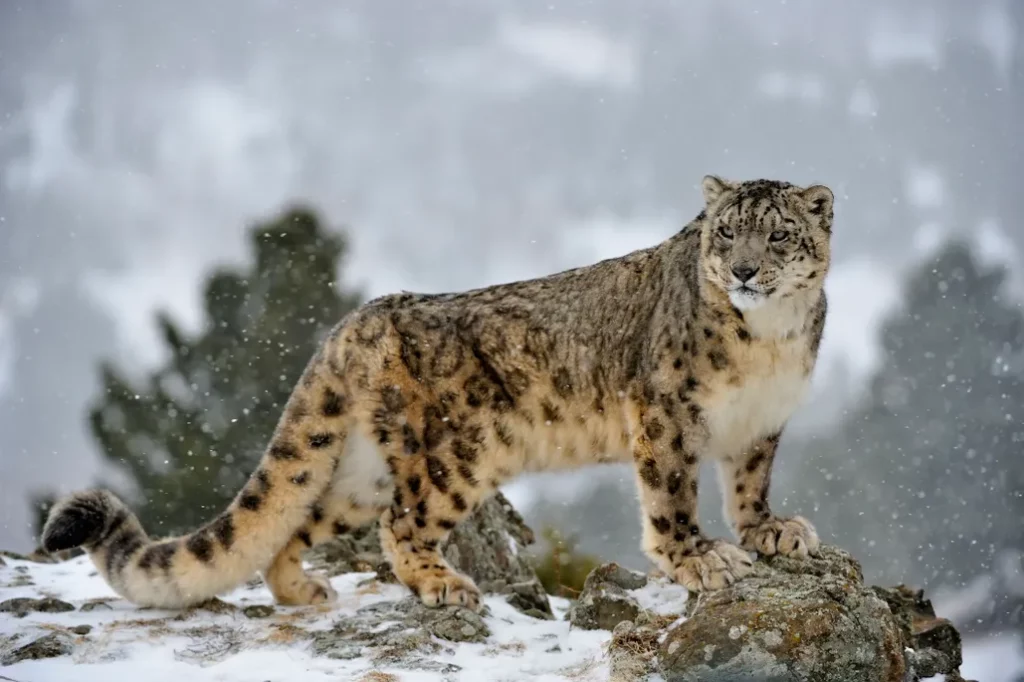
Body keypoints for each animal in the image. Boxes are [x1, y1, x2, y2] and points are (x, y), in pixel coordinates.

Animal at [42, 175, 833, 611]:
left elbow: (749, 485)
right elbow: (671, 496)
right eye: (725, 232)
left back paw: (304, 591)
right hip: (458, 452)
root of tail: (358, 318)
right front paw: (701, 559)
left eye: (778, 235)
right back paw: (440, 581)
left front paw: (771, 531)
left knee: (304, 520)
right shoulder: (666, 413)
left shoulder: (762, 423)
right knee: (403, 522)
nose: (744, 270)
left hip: (361, 467)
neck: (771, 339)